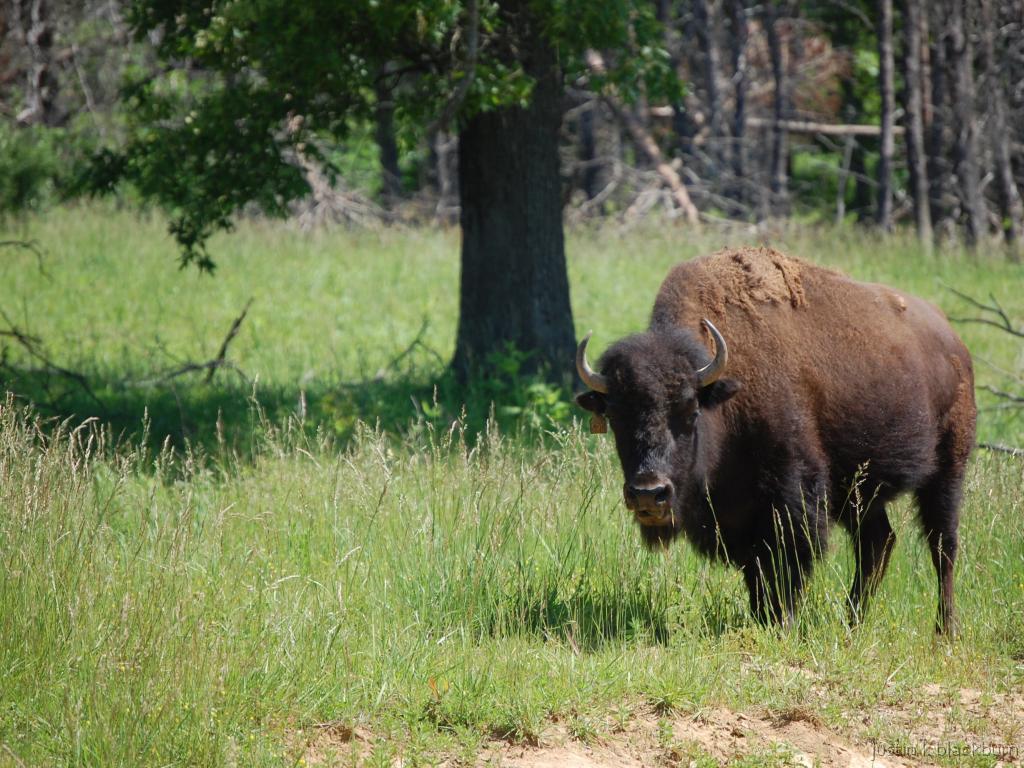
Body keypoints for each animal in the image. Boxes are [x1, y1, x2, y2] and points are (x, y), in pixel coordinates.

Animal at [575, 247, 976, 633]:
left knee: (943, 545)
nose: (649, 493)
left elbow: (788, 560)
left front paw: (784, 623)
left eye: (690, 409)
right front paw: (763, 618)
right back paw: (852, 623)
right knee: (878, 543)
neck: (726, 394)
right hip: (859, 492)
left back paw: (945, 629)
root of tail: (953, 340)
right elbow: (755, 570)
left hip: (947, 469)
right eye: (615, 416)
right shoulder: (737, 516)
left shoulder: (792, 495)